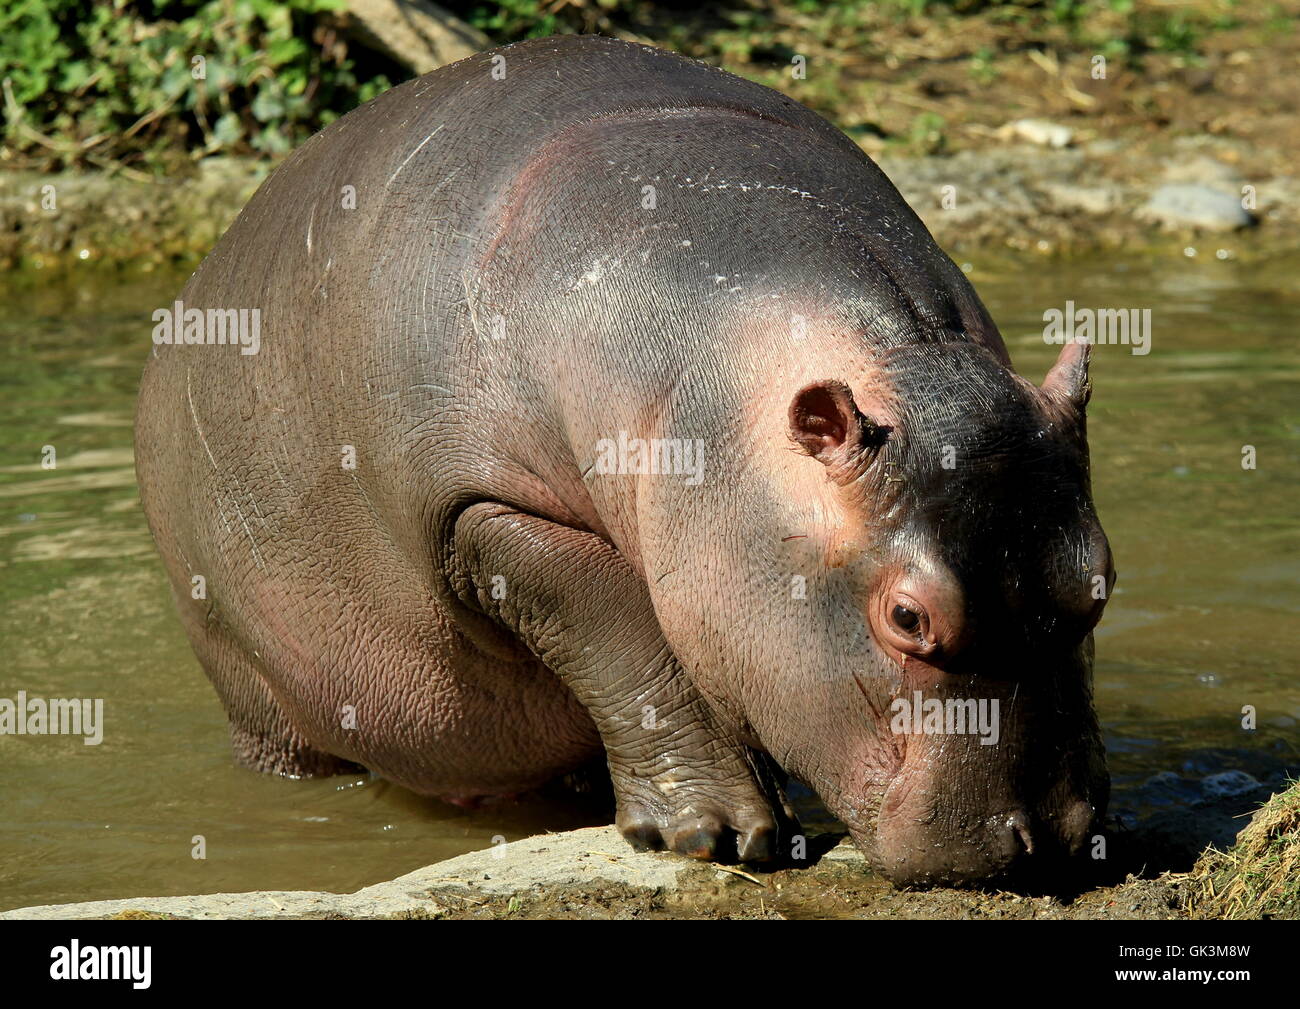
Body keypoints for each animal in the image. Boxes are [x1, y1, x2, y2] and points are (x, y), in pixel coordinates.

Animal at [135, 35, 1112, 886]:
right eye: (909, 616)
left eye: (1101, 581)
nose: (1042, 843)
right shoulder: (480, 511)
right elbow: (617, 626)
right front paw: (721, 834)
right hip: (254, 687)